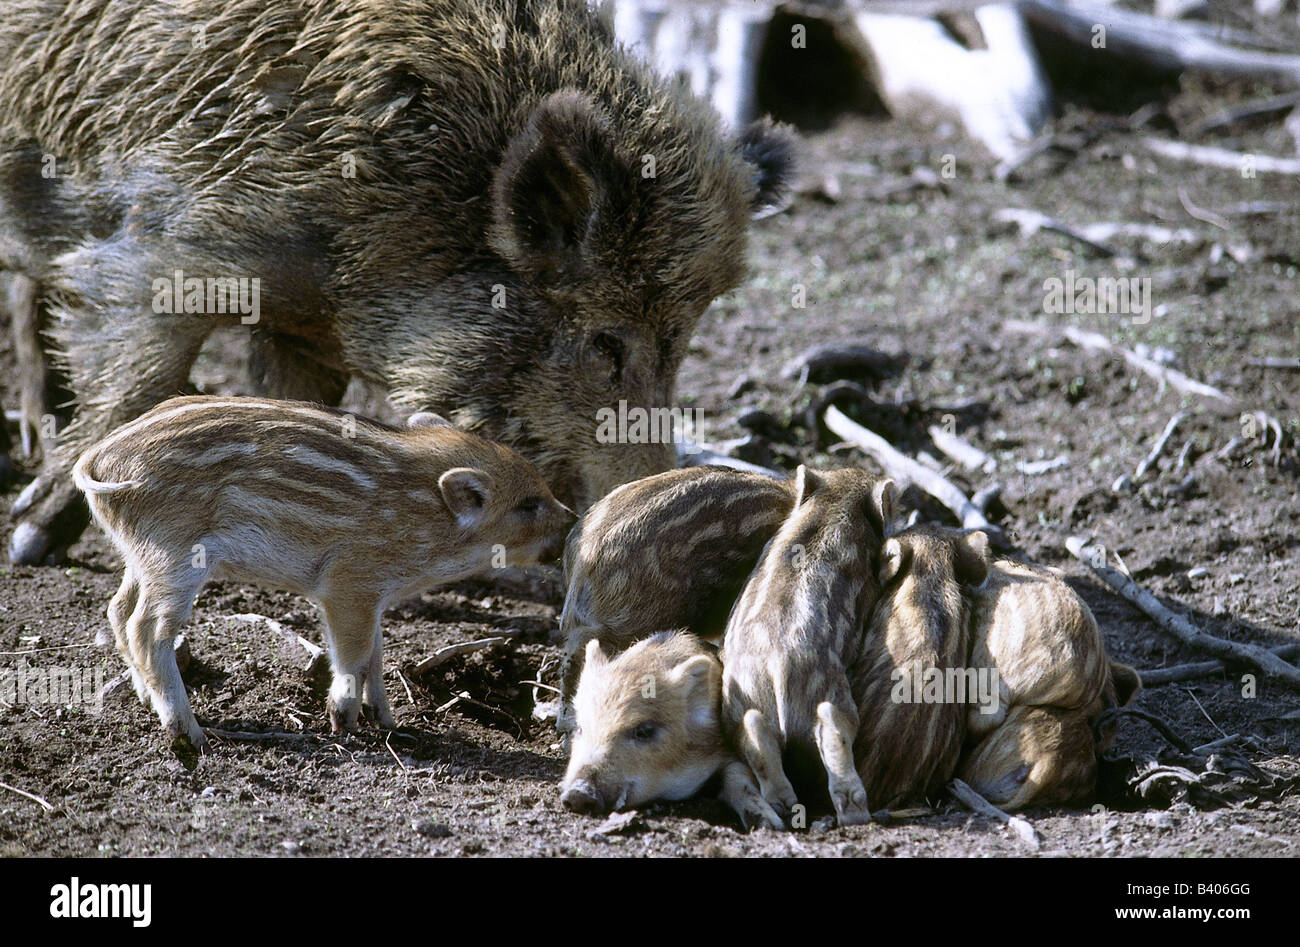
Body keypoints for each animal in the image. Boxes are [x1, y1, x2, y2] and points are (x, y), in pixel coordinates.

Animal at [0, 0, 795, 564]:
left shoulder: (300, 332)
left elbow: (292, 410)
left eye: (683, 343)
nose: (648, 488)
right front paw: (28, 539)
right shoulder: (155, 257)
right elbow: (136, 387)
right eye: (606, 341)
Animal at [72, 395, 575, 749]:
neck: (426, 521)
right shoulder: (347, 583)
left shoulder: (373, 595)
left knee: (117, 609)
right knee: (145, 627)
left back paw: (145, 698)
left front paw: (388, 721)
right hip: (175, 555)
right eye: (527, 505)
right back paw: (187, 733)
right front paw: (343, 722)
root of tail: (98, 459)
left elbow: (377, 650)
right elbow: (353, 653)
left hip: (140, 555)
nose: (573, 522)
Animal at [721, 465, 896, 827]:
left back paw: (785, 805)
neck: (835, 504)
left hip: (739, 702)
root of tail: (777, 664)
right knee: (833, 727)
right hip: (831, 692)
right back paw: (855, 814)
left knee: (754, 733)